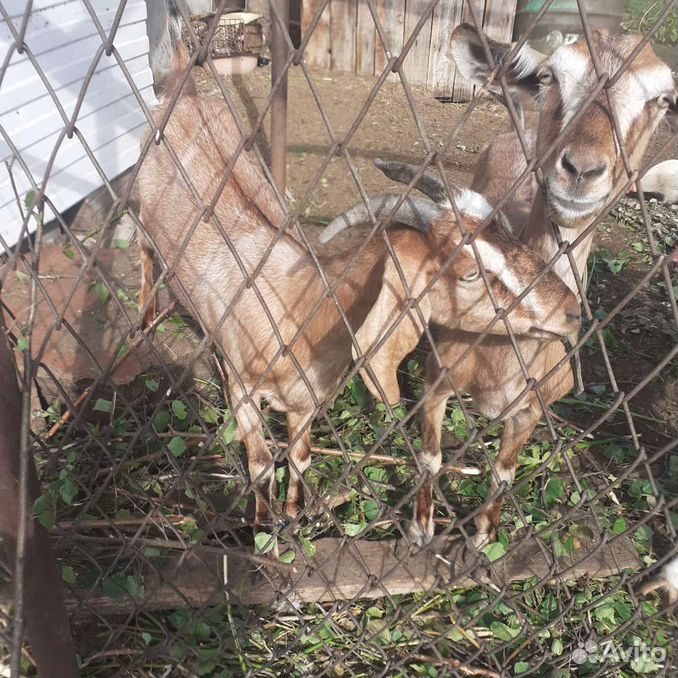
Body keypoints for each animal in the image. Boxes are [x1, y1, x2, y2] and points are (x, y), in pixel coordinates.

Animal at [133, 59, 580, 539]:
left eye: (510, 234)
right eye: (470, 272)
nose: (571, 311)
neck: (299, 307)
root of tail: (187, 96)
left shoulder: (308, 401)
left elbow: (300, 457)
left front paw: (295, 515)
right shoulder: (242, 391)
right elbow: (260, 466)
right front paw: (260, 528)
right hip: (140, 213)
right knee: (144, 253)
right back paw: (143, 321)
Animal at [322, 24, 677, 547]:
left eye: (663, 98)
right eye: (550, 76)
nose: (582, 170)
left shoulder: (530, 412)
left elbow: (505, 473)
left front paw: (484, 535)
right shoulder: (436, 385)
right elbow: (430, 458)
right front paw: (422, 529)